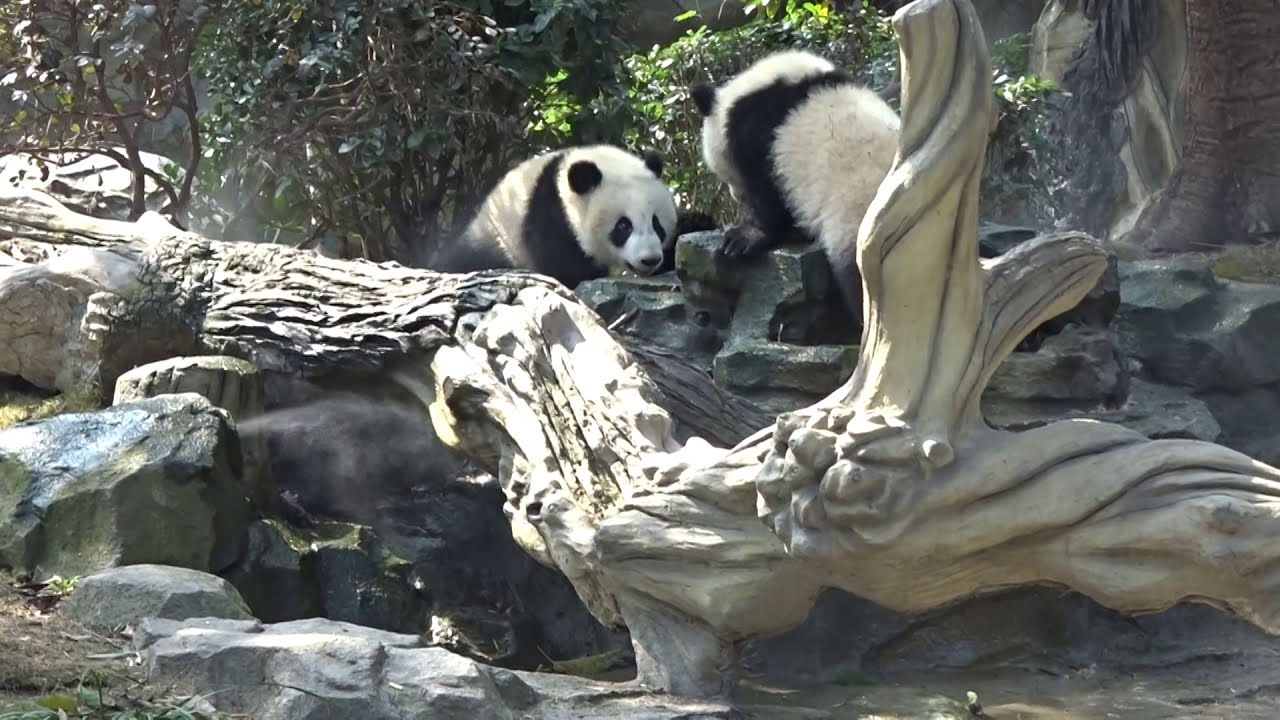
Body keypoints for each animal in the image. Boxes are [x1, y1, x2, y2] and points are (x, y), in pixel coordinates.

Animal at [429, 144, 685, 289]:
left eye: (657, 223)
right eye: (623, 226)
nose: (650, 260)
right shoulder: (550, 215)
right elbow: (565, 269)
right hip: (497, 243)